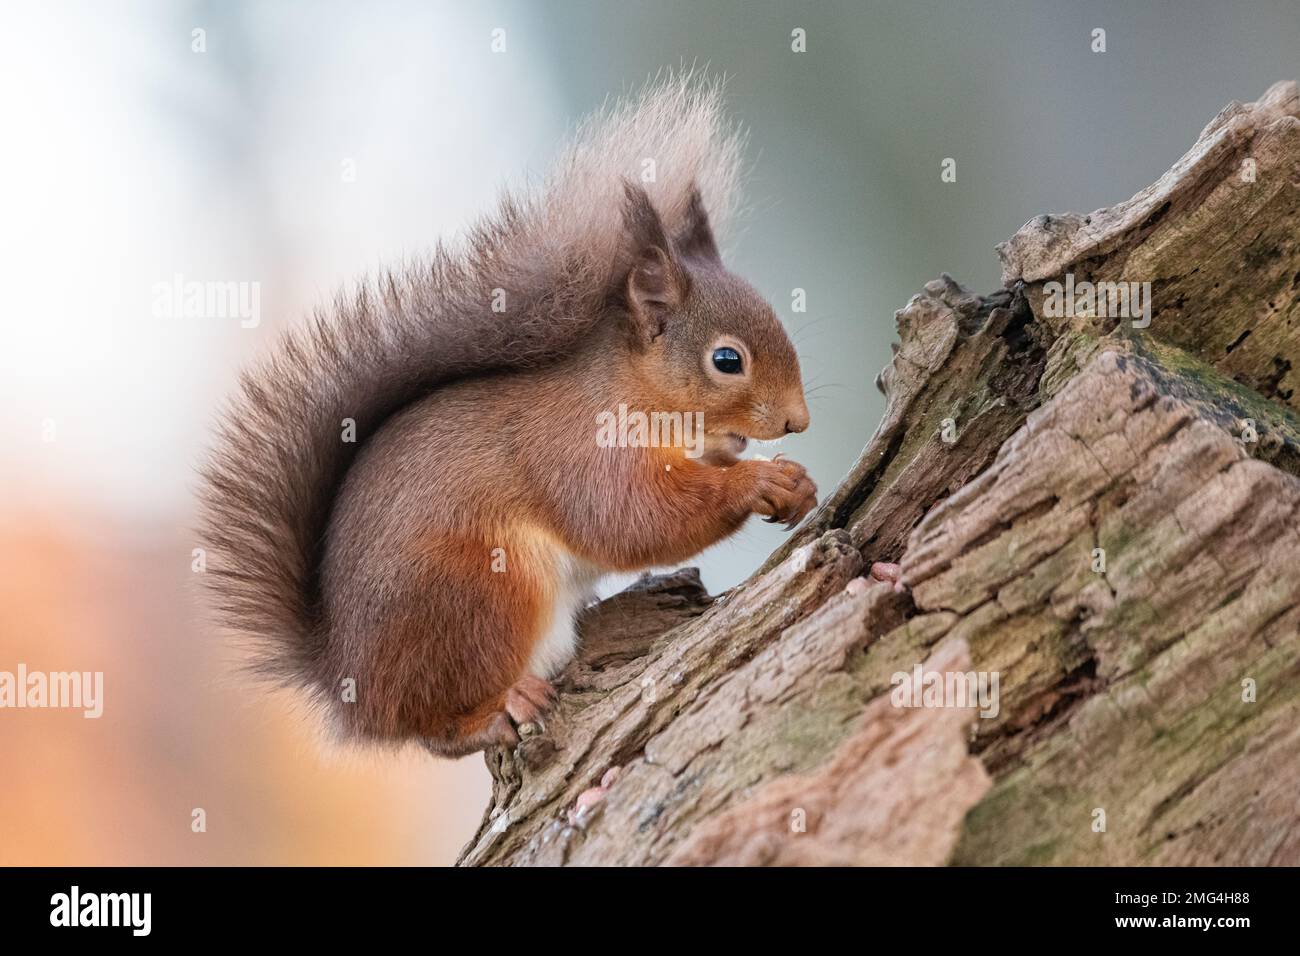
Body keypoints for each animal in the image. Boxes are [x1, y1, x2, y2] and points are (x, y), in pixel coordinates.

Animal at [199, 77, 817, 757]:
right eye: (727, 360)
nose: (799, 421)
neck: (626, 390)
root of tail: (348, 687)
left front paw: (792, 481)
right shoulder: (578, 451)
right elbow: (633, 519)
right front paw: (757, 482)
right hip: (482, 591)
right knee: (435, 729)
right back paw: (499, 708)